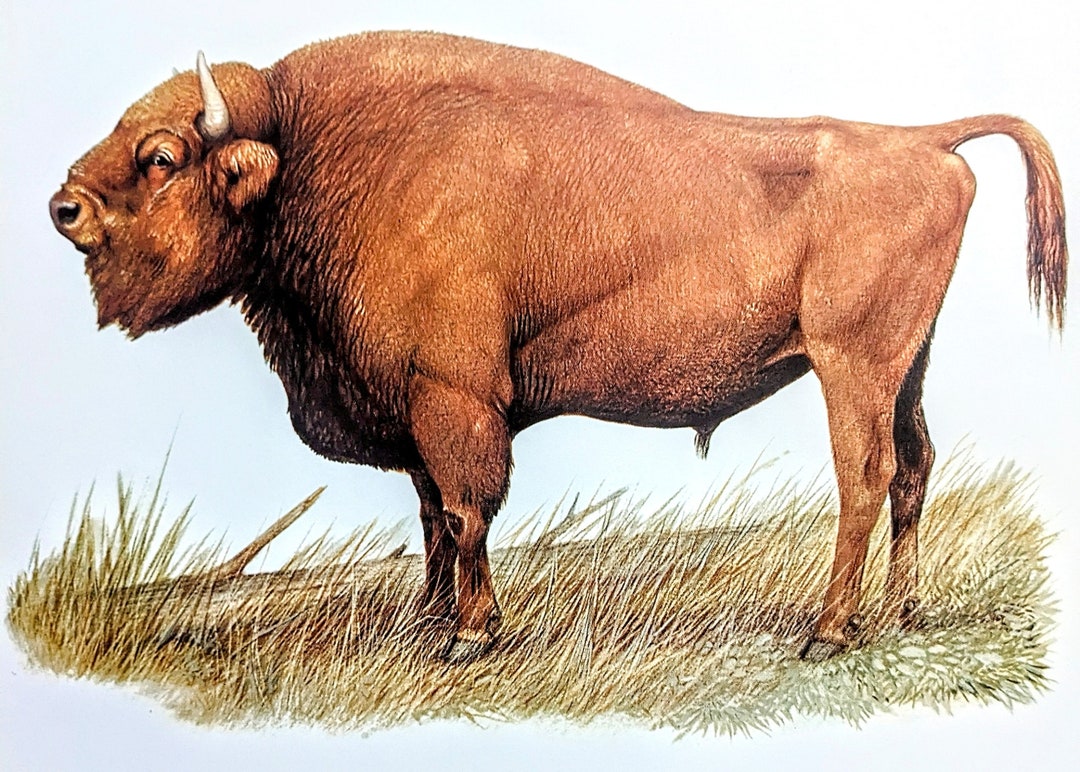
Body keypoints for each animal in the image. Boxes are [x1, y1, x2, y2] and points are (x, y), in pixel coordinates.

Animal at [49, 32, 1067, 663]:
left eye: (162, 156)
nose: (65, 208)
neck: (311, 156)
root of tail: (921, 142)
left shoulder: (454, 397)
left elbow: (467, 511)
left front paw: (470, 636)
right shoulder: (415, 412)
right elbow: (430, 516)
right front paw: (426, 621)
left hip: (851, 367)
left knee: (863, 477)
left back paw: (827, 632)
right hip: (909, 368)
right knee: (914, 470)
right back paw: (901, 615)